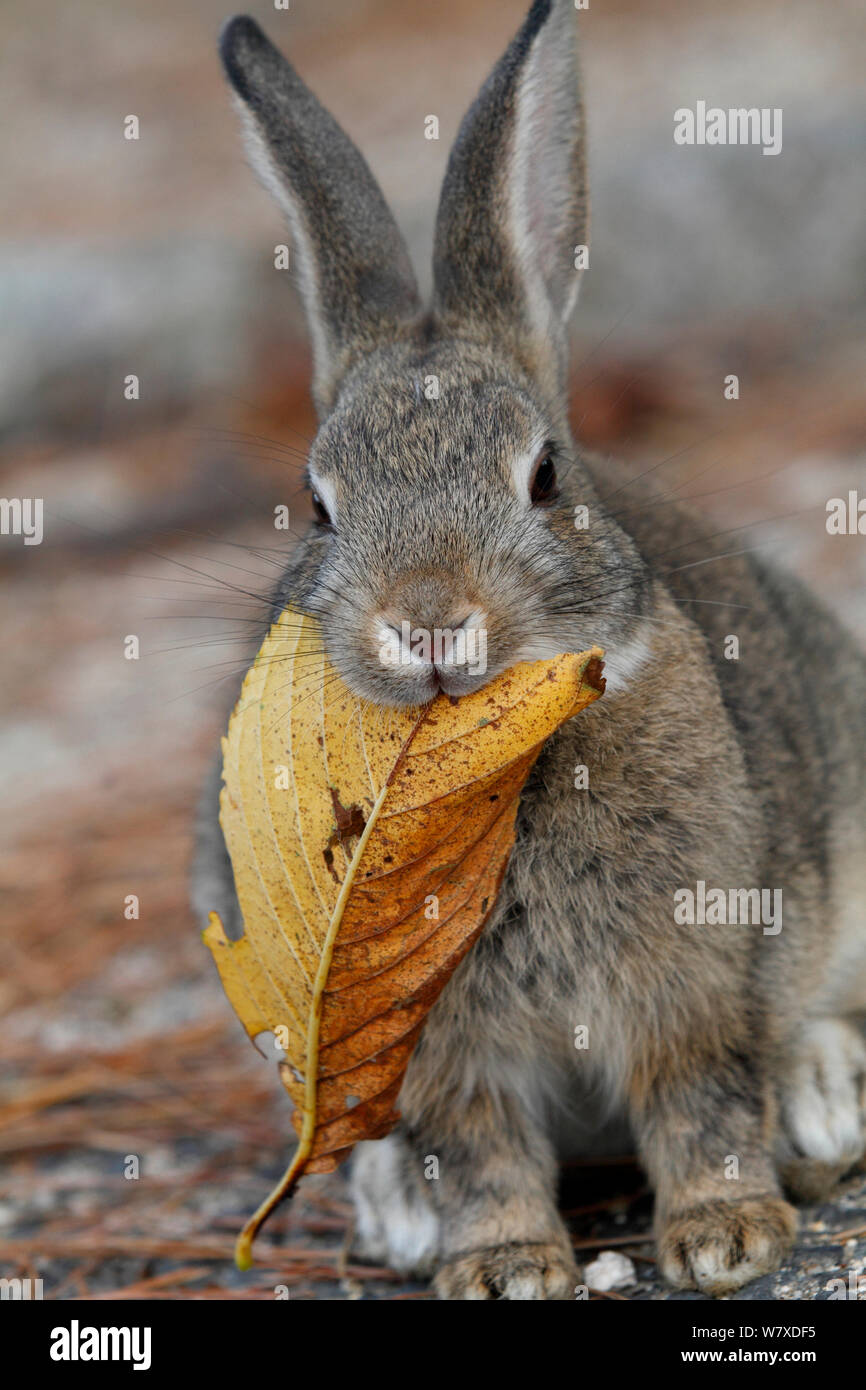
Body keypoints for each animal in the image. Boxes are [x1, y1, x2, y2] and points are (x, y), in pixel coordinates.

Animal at [193, 3, 866, 1299]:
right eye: (316, 506)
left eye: (545, 475)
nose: (427, 616)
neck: (490, 762)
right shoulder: (437, 1047)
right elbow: (477, 1148)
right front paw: (500, 1264)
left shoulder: (692, 976)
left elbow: (701, 1097)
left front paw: (725, 1237)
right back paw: (394, 1209)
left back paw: (817, 1105)